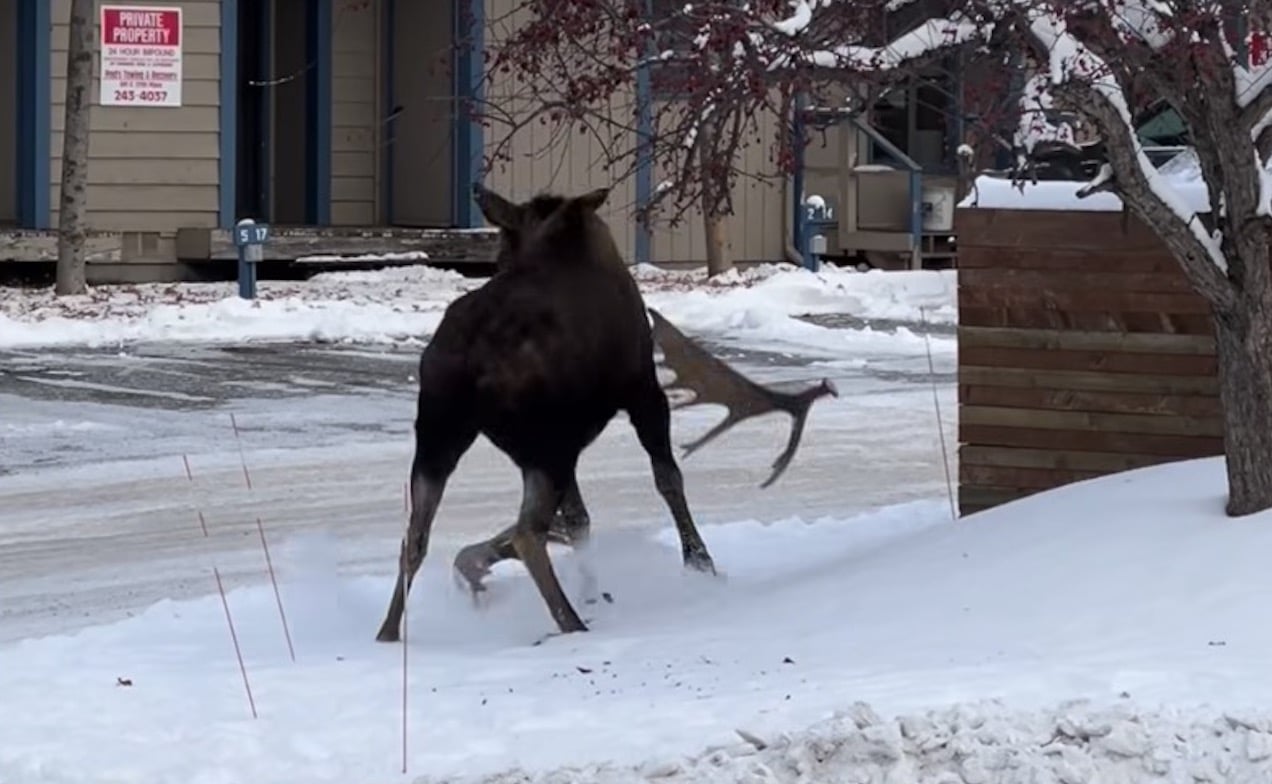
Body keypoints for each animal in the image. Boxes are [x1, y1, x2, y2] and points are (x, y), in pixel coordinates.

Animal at [375, 184, 836, 642]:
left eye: (504, 245)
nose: (499, 264)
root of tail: (469, 357)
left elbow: (579, 518)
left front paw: (592, 590)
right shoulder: (643, 391)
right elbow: (667, 478)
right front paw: (700, 563)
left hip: (443, 432)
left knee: (415, 536)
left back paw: (390, 631)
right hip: (545, 443)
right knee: (526, 533)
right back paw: (569, 622)